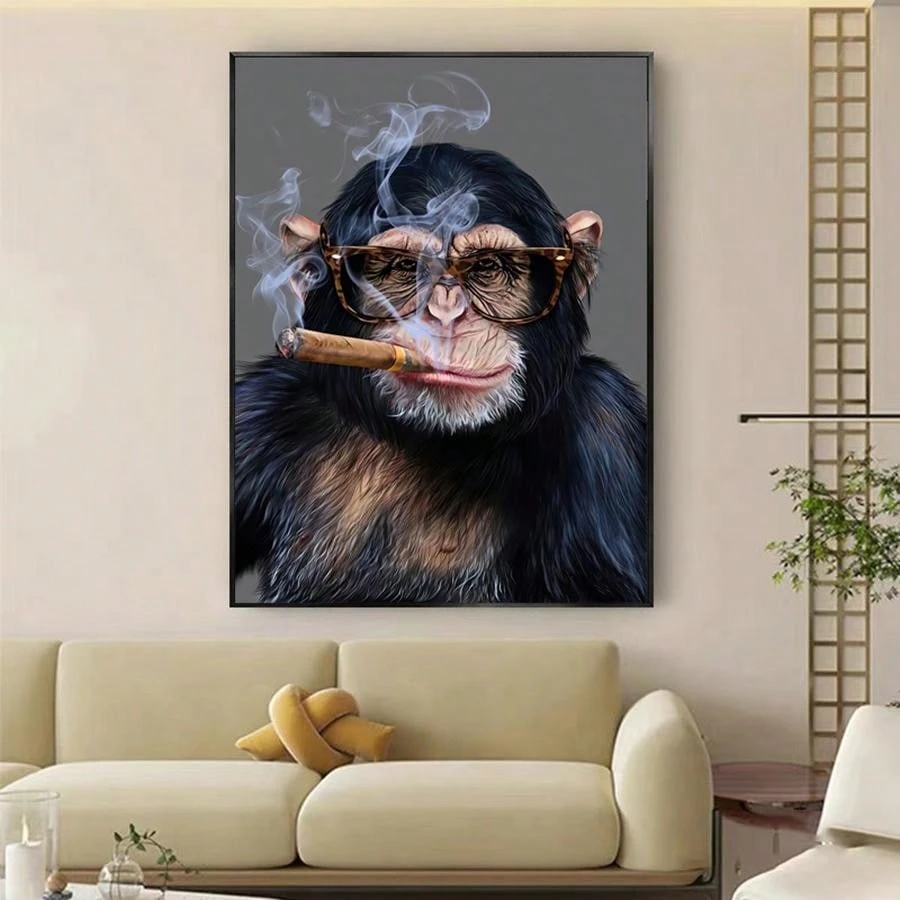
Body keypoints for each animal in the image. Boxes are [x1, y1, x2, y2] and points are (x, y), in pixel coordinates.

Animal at [234, 142, 647, 606]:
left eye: (488, 266)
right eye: (402, 266)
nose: (447, 314)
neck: (435, 442)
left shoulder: (605, 424)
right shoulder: (255, 412)